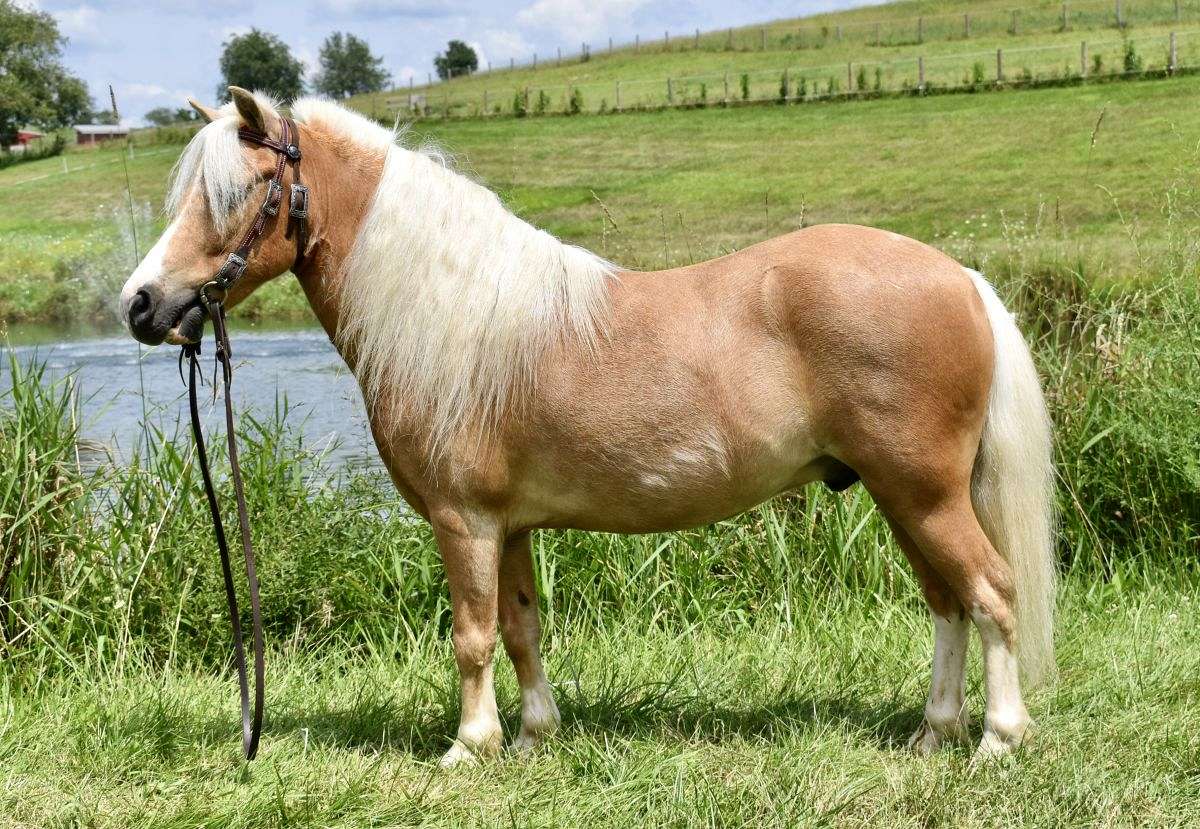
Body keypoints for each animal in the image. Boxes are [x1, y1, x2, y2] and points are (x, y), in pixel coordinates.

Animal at [119, 88, 1056, 765]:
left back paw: (998, 740)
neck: (450, 313)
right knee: (948, 602)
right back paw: (933, 732)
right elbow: (522, 627)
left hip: (924, 494)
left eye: (239, 192)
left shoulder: (464, 521)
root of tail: (960, 276)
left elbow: (471, 636)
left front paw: (469, 748)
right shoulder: (509, 525)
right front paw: (535, 736)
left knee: (992, 592)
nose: (140, 304)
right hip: (903, 498)